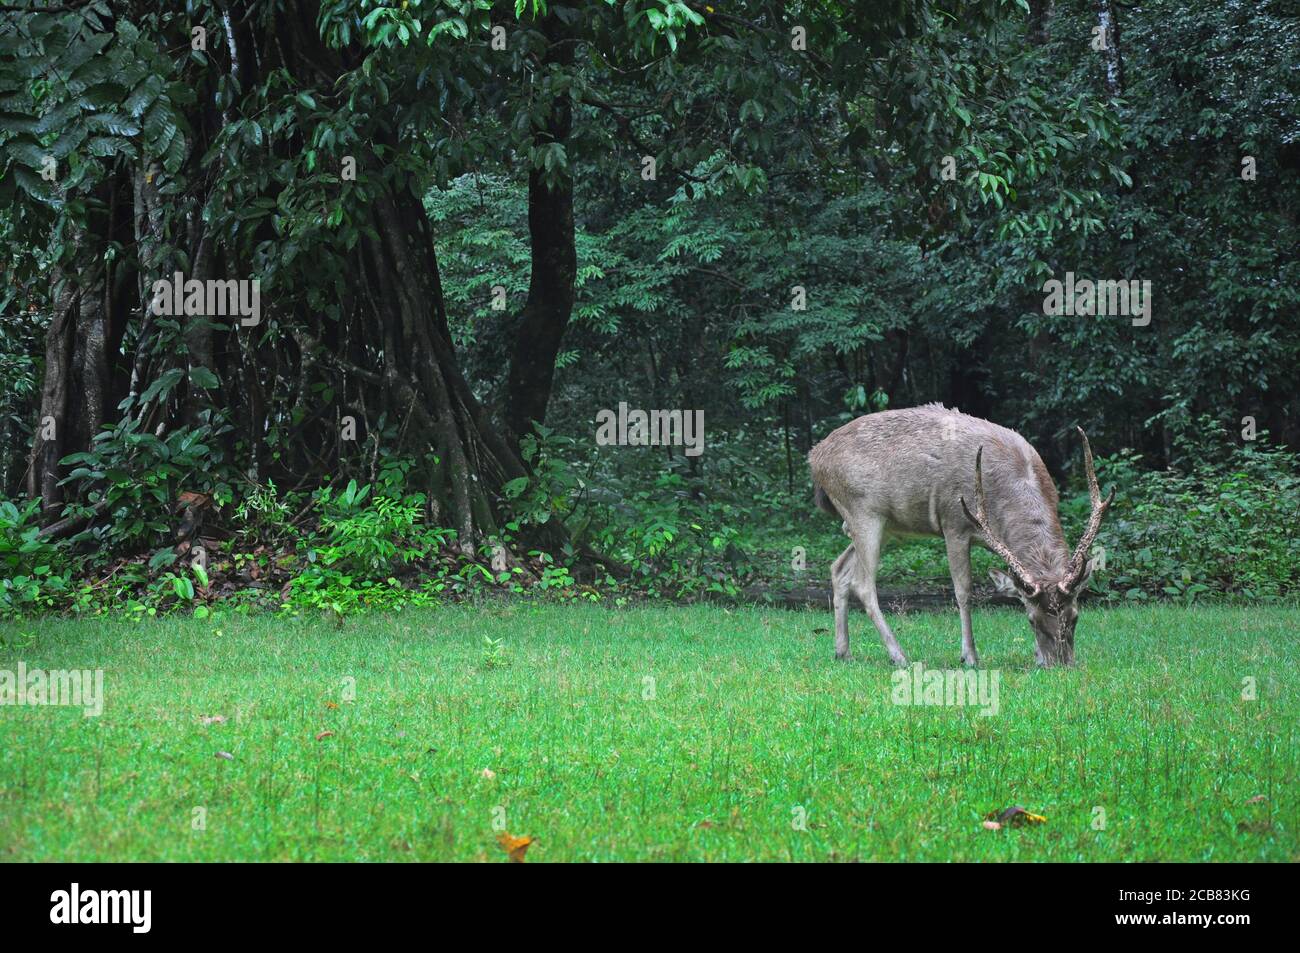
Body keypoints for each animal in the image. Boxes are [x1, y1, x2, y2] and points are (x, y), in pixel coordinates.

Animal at [808, 403, 1112, 668]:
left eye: (1075, 617)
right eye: (1031, 620)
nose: (1061, 663)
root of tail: (815, 457)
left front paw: (1035, 655)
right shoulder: (954, 523)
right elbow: (963, 591)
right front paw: (970, 656)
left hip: (884, 526)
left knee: (839, 568)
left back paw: (843, 651)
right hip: (864, 512)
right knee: (863, 583)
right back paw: (898, 655)